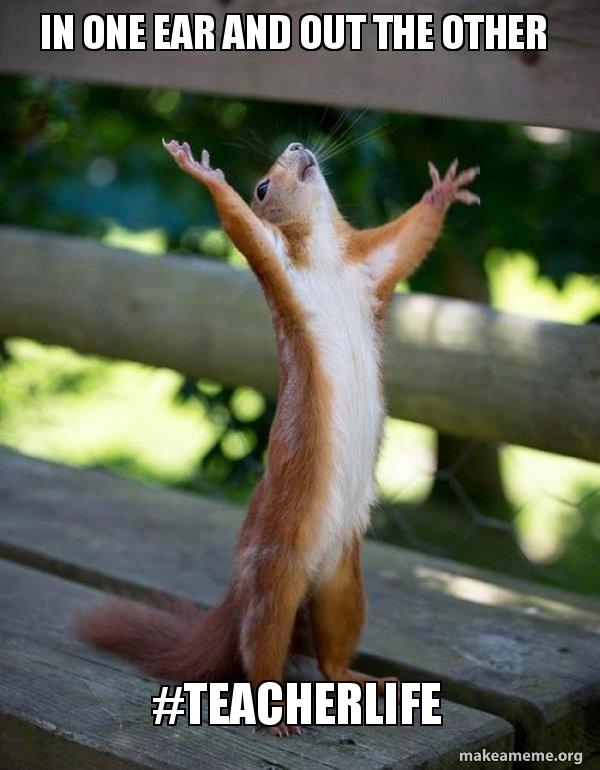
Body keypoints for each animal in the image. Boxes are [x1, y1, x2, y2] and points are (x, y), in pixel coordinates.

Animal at [79, 138, 479, 737]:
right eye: (262, 186)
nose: (296, 146)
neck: (327, 259)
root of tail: (240, 591)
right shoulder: (278, 266)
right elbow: (242, 227)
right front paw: (204, 173)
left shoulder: (371, 267)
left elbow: (408, 241)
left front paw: (443, 191)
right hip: (275, 578)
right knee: (260, 649)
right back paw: (274, 714)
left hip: (344, 584)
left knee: (332, 651)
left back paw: (358, 678)